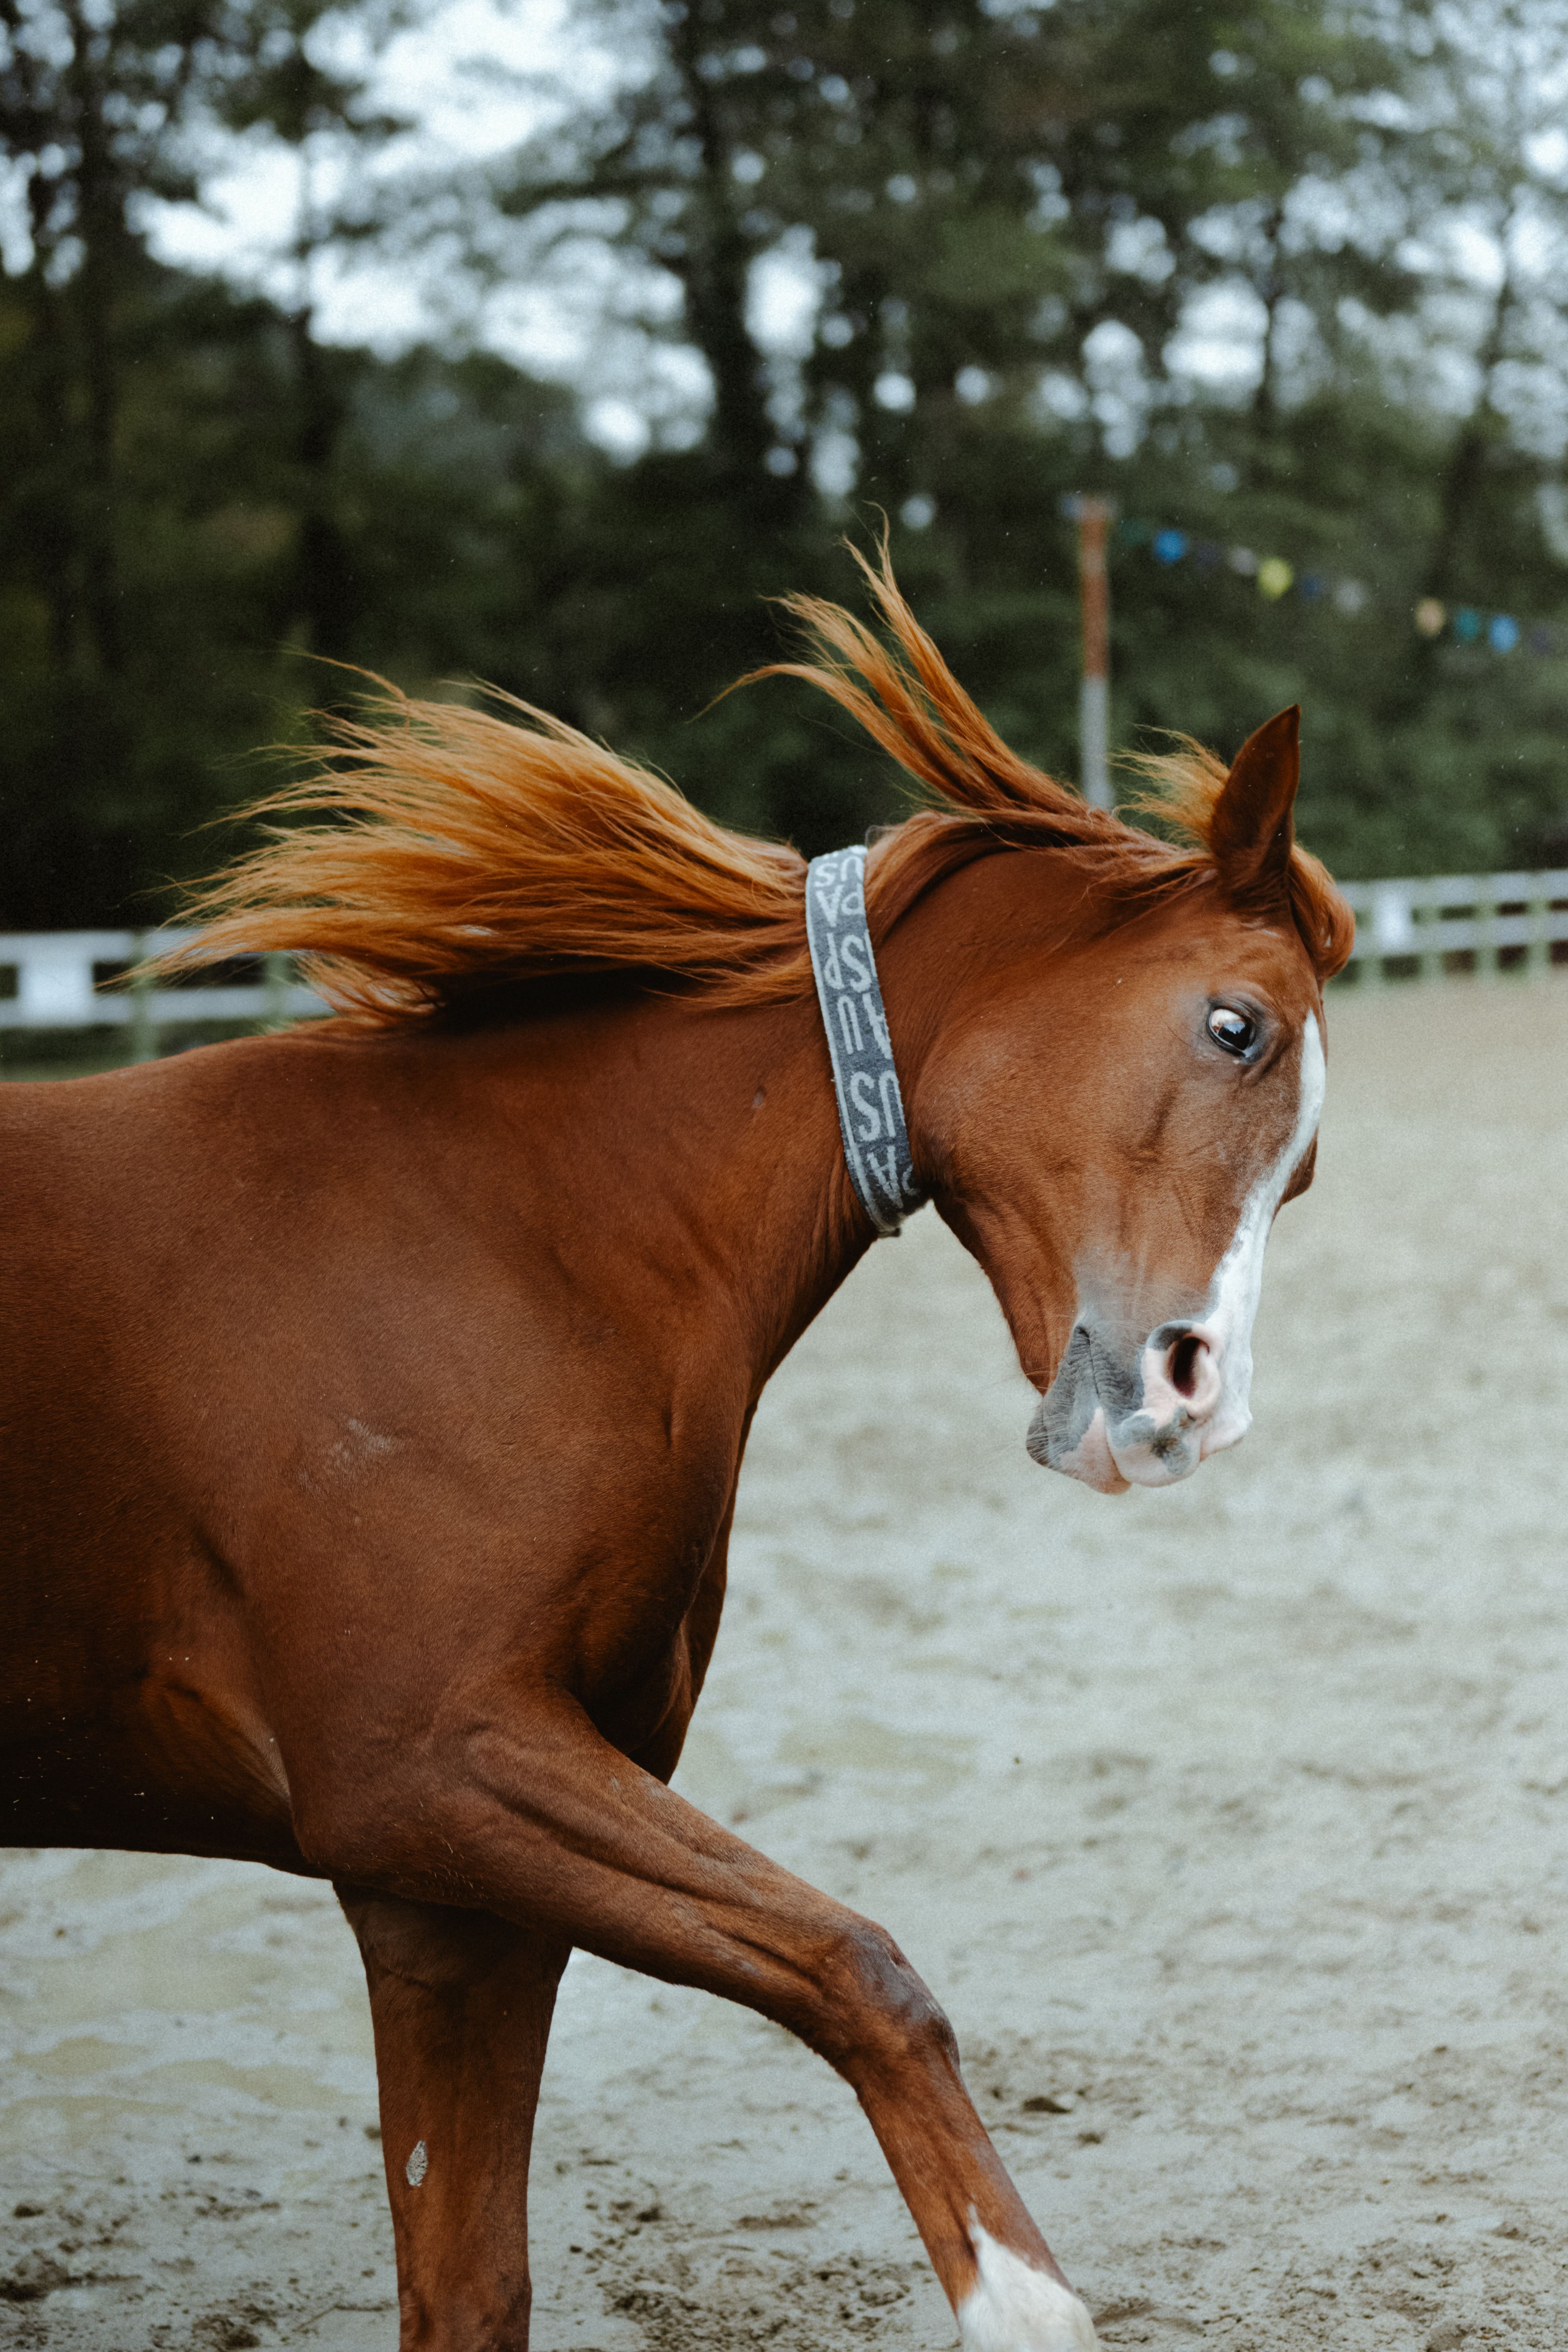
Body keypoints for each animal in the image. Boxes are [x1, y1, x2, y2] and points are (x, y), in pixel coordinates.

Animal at [1, 552, 1352, 2350]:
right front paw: (1017, 2298)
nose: (1191, 1401)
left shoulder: (446, 1895)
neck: (512, 1240)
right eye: (1231, 1027)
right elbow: (859, 1967)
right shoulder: (426, 1767)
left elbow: (473, 2284)